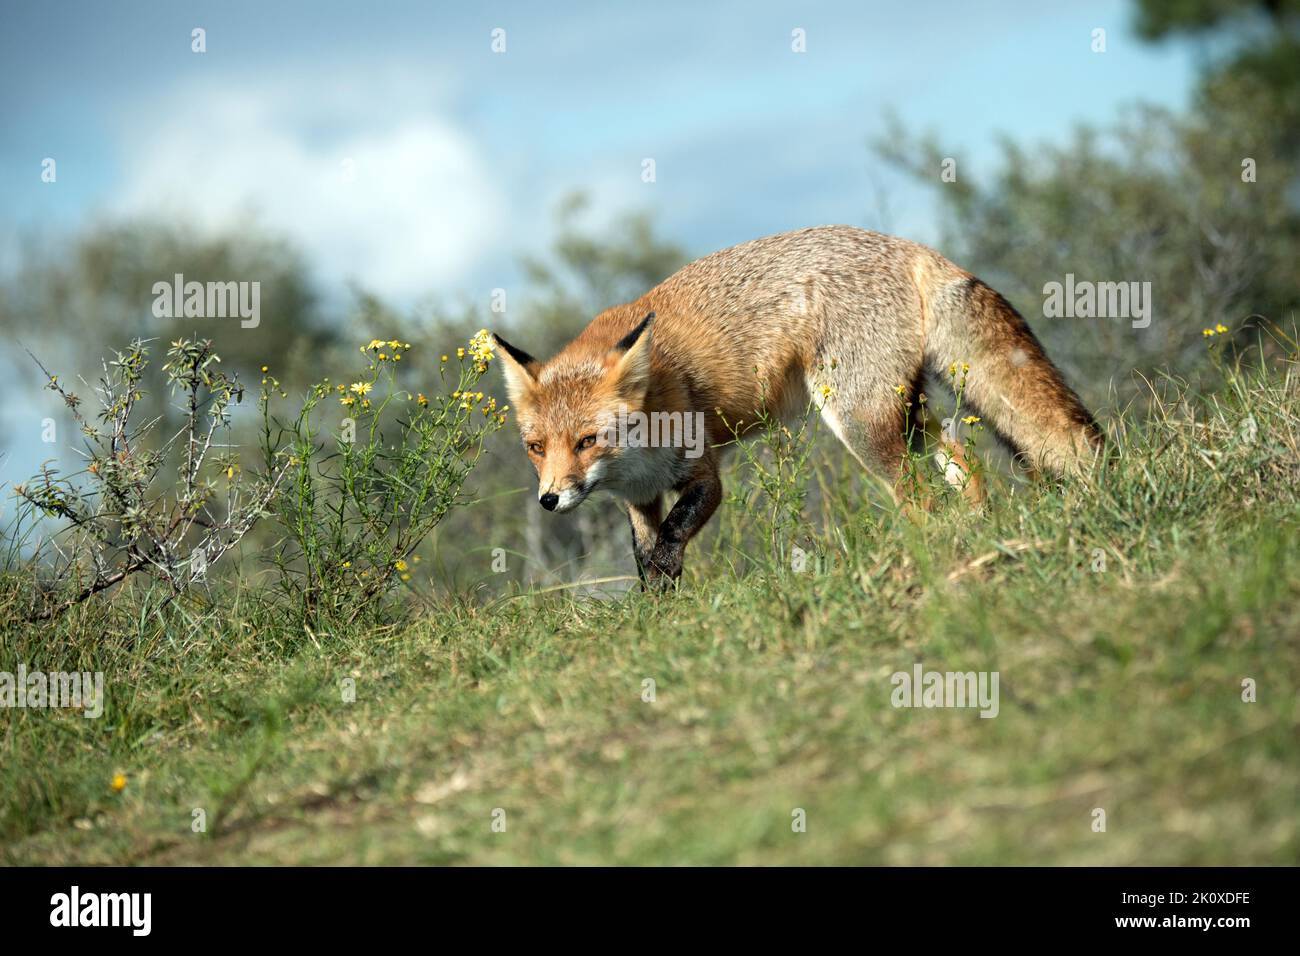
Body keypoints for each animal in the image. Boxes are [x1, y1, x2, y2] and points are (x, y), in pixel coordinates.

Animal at [492, 225, 1102, 589]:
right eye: (536, 447)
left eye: (587, 441)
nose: (549, 499)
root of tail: (902, 244)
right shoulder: (639, 498)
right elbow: (648, 558)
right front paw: (658, 614)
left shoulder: (704, 476)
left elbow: (671, 541)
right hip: (907, 416)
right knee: (965, 460)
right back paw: (976, 527)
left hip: (861, 423)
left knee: (920, 497)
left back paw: (927, 553)